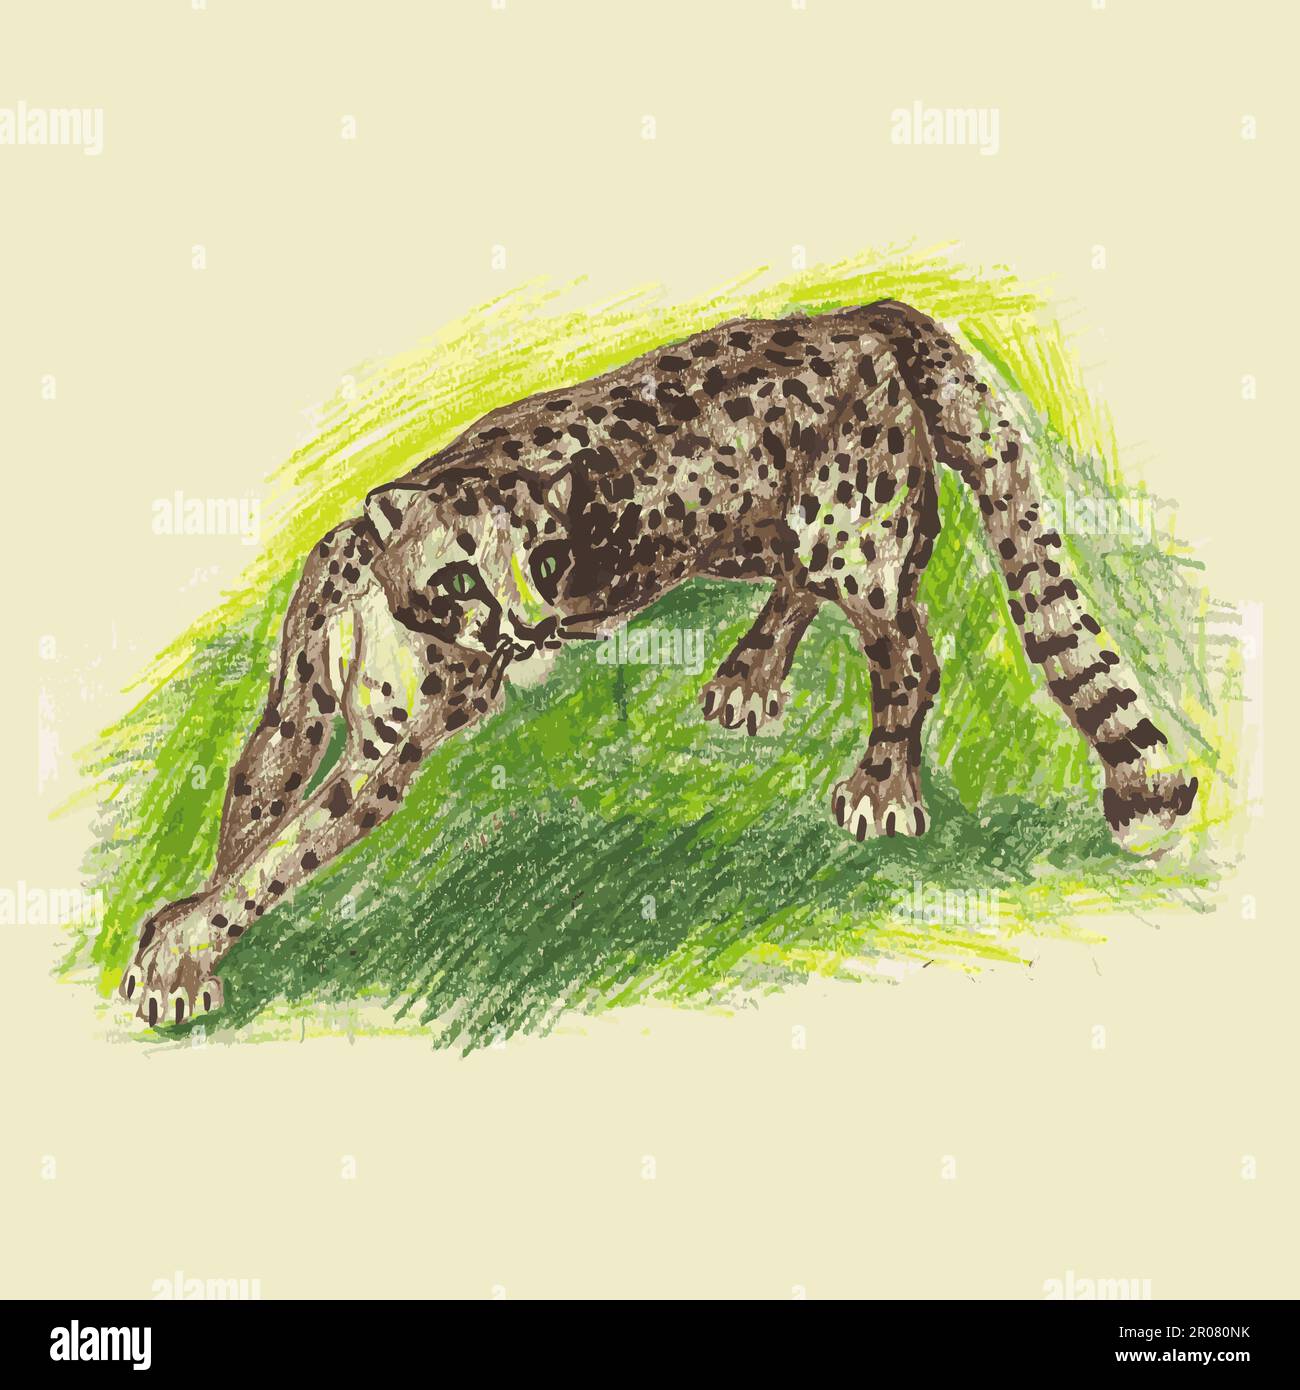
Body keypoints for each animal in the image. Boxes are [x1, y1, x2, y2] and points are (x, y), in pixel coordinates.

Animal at [120, 300, 1198, 1025]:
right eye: (465, 573)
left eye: (550, 561)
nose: (524, 632)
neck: (378, 605)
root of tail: (865, 314)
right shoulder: (295, 708)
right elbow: (255, 806)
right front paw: (183, 924)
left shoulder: (389, 753)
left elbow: (290, 847)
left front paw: (181, 950)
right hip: (752, 530)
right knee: (803, 587)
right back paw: (749, 676)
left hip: (855, 540)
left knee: (910, 656)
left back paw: (882, 782)